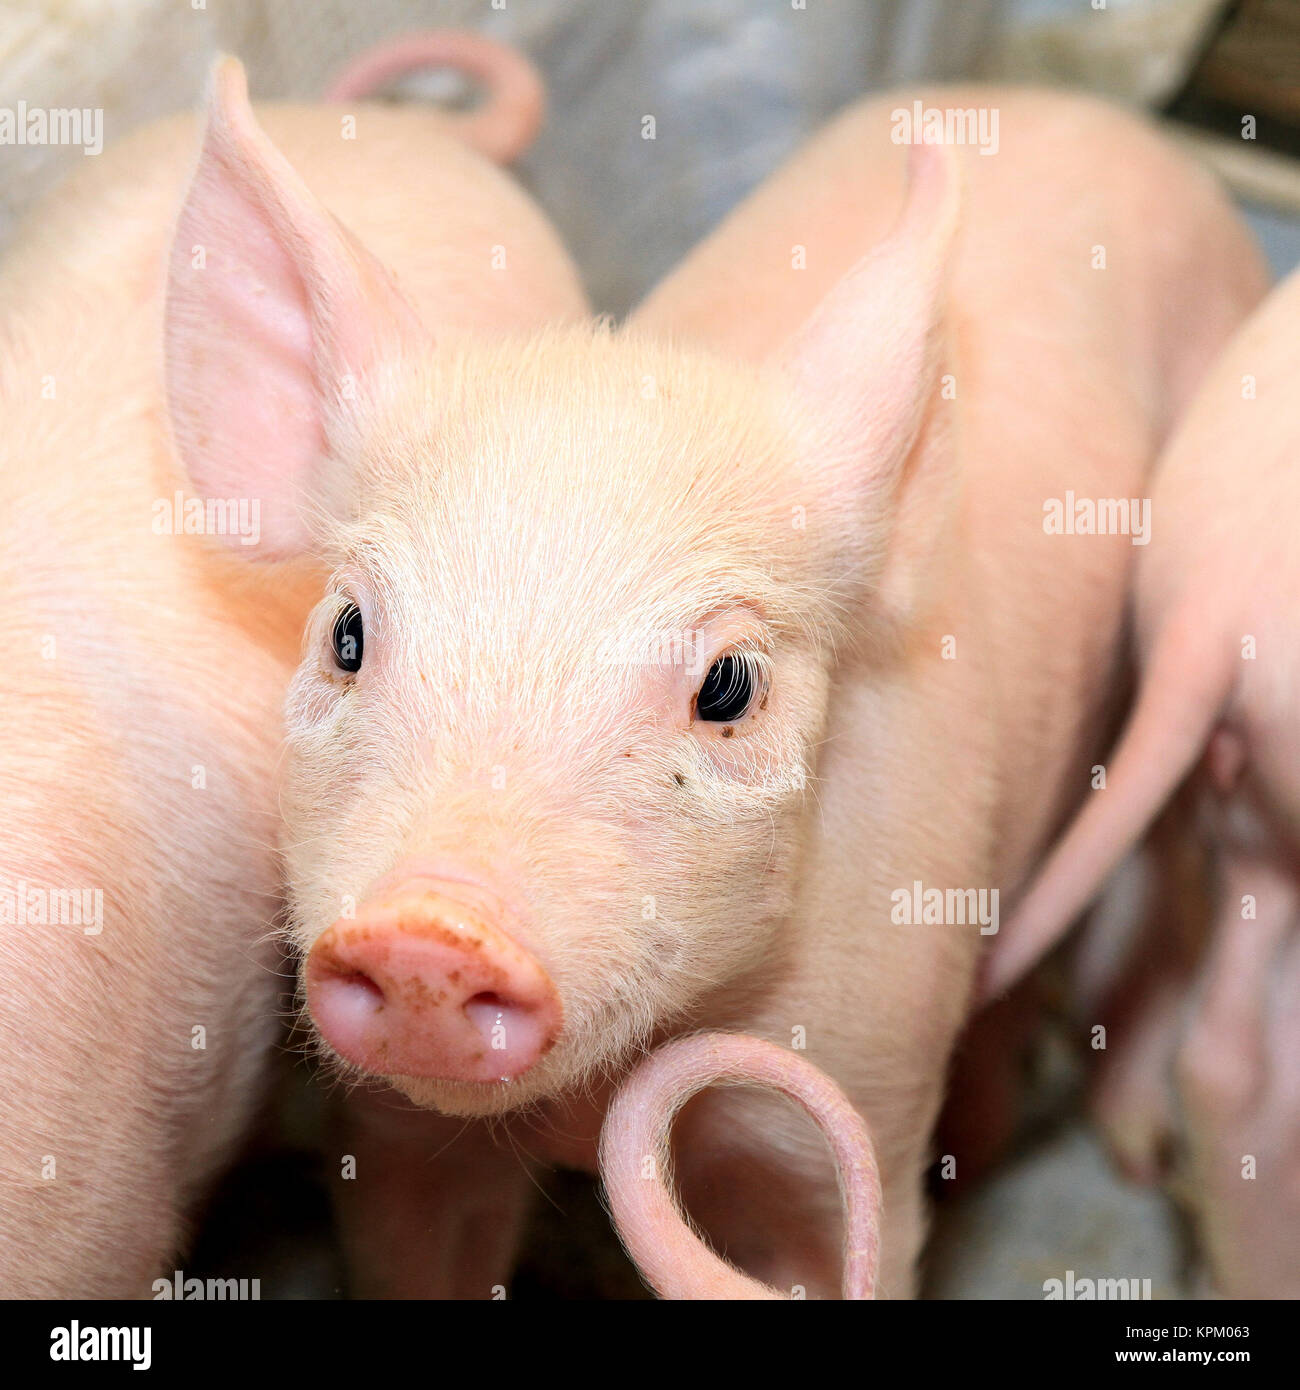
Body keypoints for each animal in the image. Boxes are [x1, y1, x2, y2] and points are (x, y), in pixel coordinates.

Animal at [171, 83, 1267, 1298]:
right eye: (349, 634)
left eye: (729, 684)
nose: (429, 931)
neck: (601, 1101)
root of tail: (1076, 109)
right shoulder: (400, 1138)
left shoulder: (864, 1089)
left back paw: (1121, 1152)